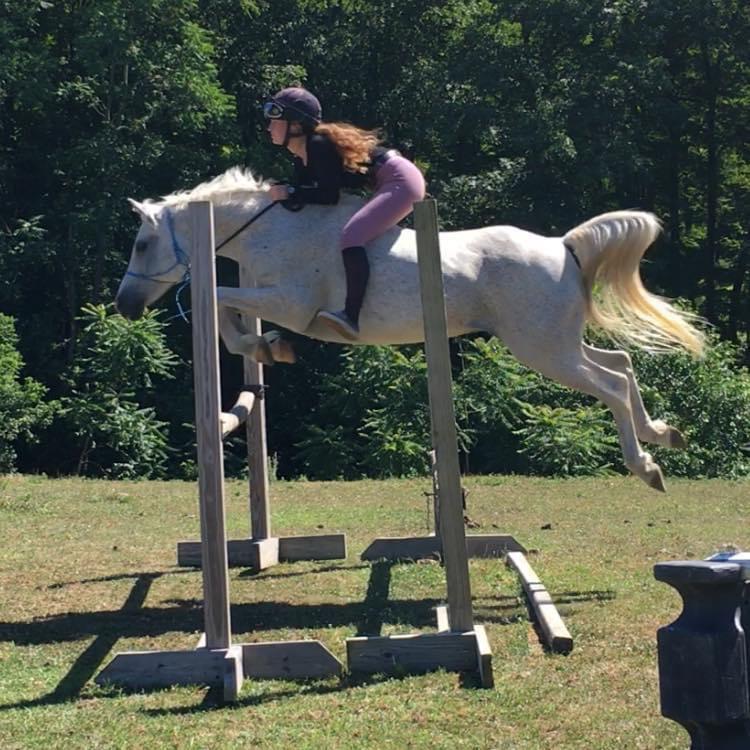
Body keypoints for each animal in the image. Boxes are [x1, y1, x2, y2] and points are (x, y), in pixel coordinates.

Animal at [115, 167, 705, 492]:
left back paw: (646, 466)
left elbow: (213, 298)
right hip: (555, 343)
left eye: (141, 245)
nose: (124, 306)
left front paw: (265, 345)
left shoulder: (290, 303)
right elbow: (226, 309)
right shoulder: (270, 296)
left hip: (543, 351)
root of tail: (562, 246)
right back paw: (663, 434)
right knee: (621, 367)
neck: (271, 229)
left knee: (610, 385)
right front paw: (268, 347)